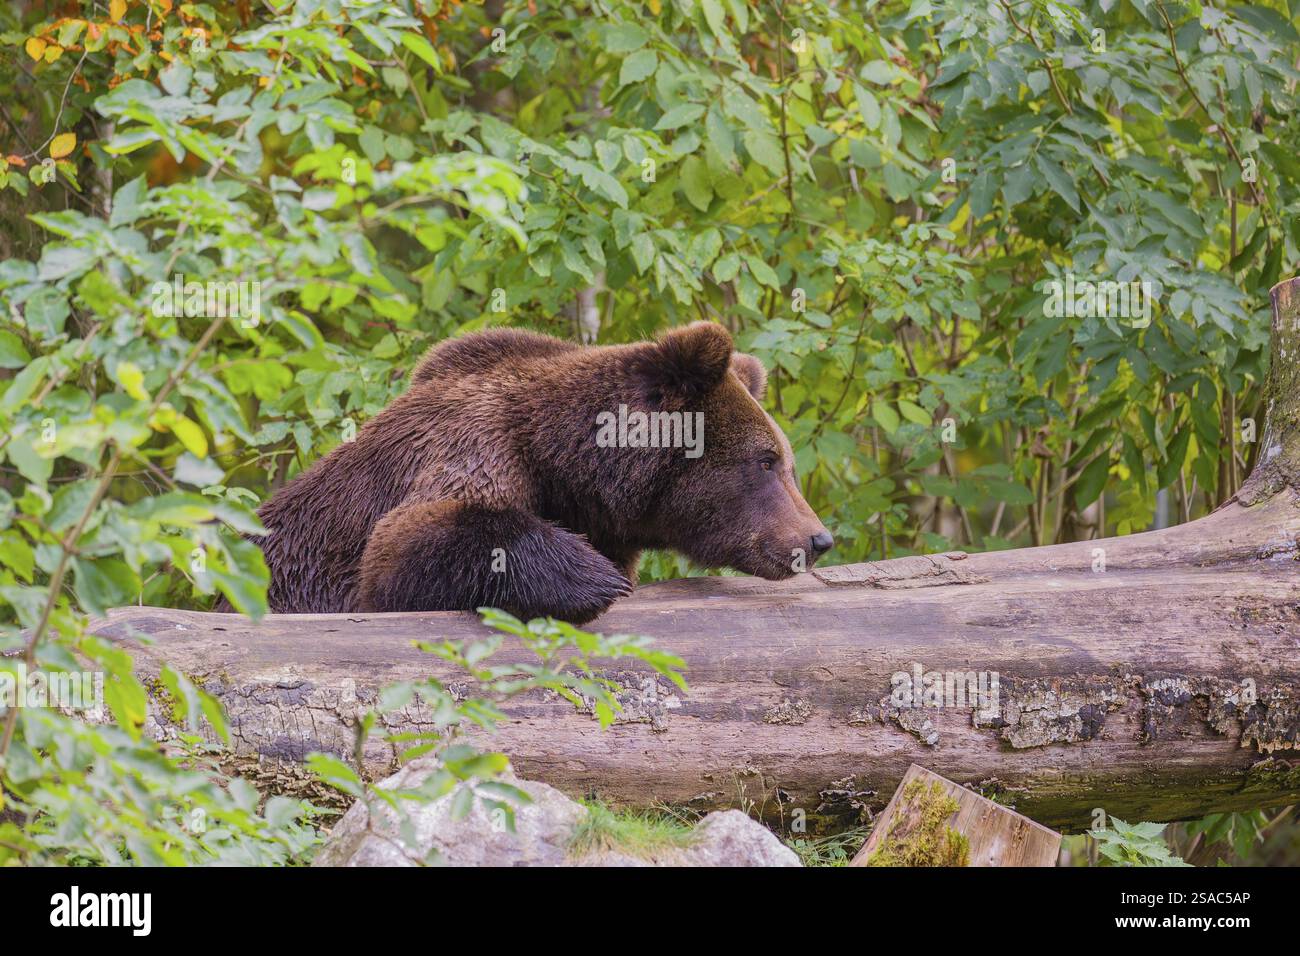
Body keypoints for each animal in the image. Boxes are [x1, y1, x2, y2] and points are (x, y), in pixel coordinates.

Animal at [253, 321, 833, 624]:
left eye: (786, 462)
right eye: (765, 462)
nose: (817, 538)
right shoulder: (474, 445)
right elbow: (403, 543)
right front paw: (592, 580)